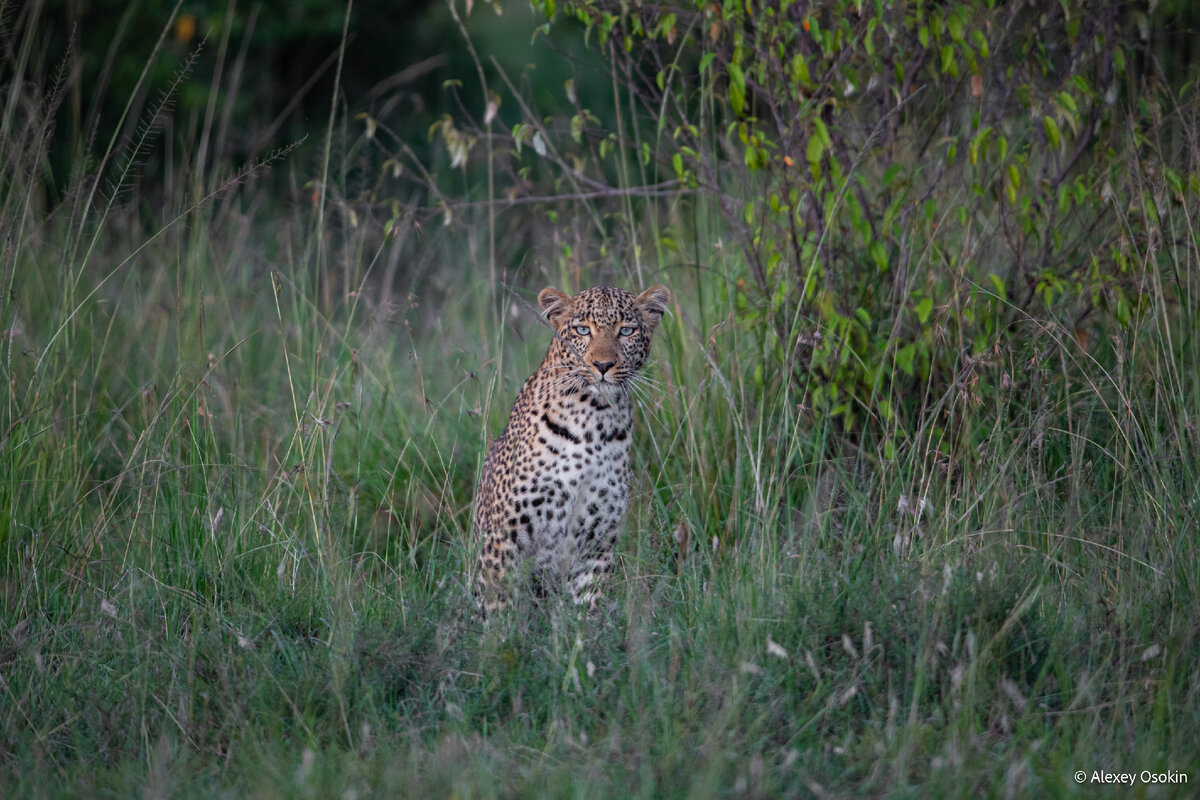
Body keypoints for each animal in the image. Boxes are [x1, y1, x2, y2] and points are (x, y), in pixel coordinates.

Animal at [472, 284, 672, 618]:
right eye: (582, 330)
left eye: (626, 331)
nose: (602, 365)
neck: (593, 419)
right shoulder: (504, 537)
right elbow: (498, 605)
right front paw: (500, 632)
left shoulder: (597, 539)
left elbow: (587, 608)